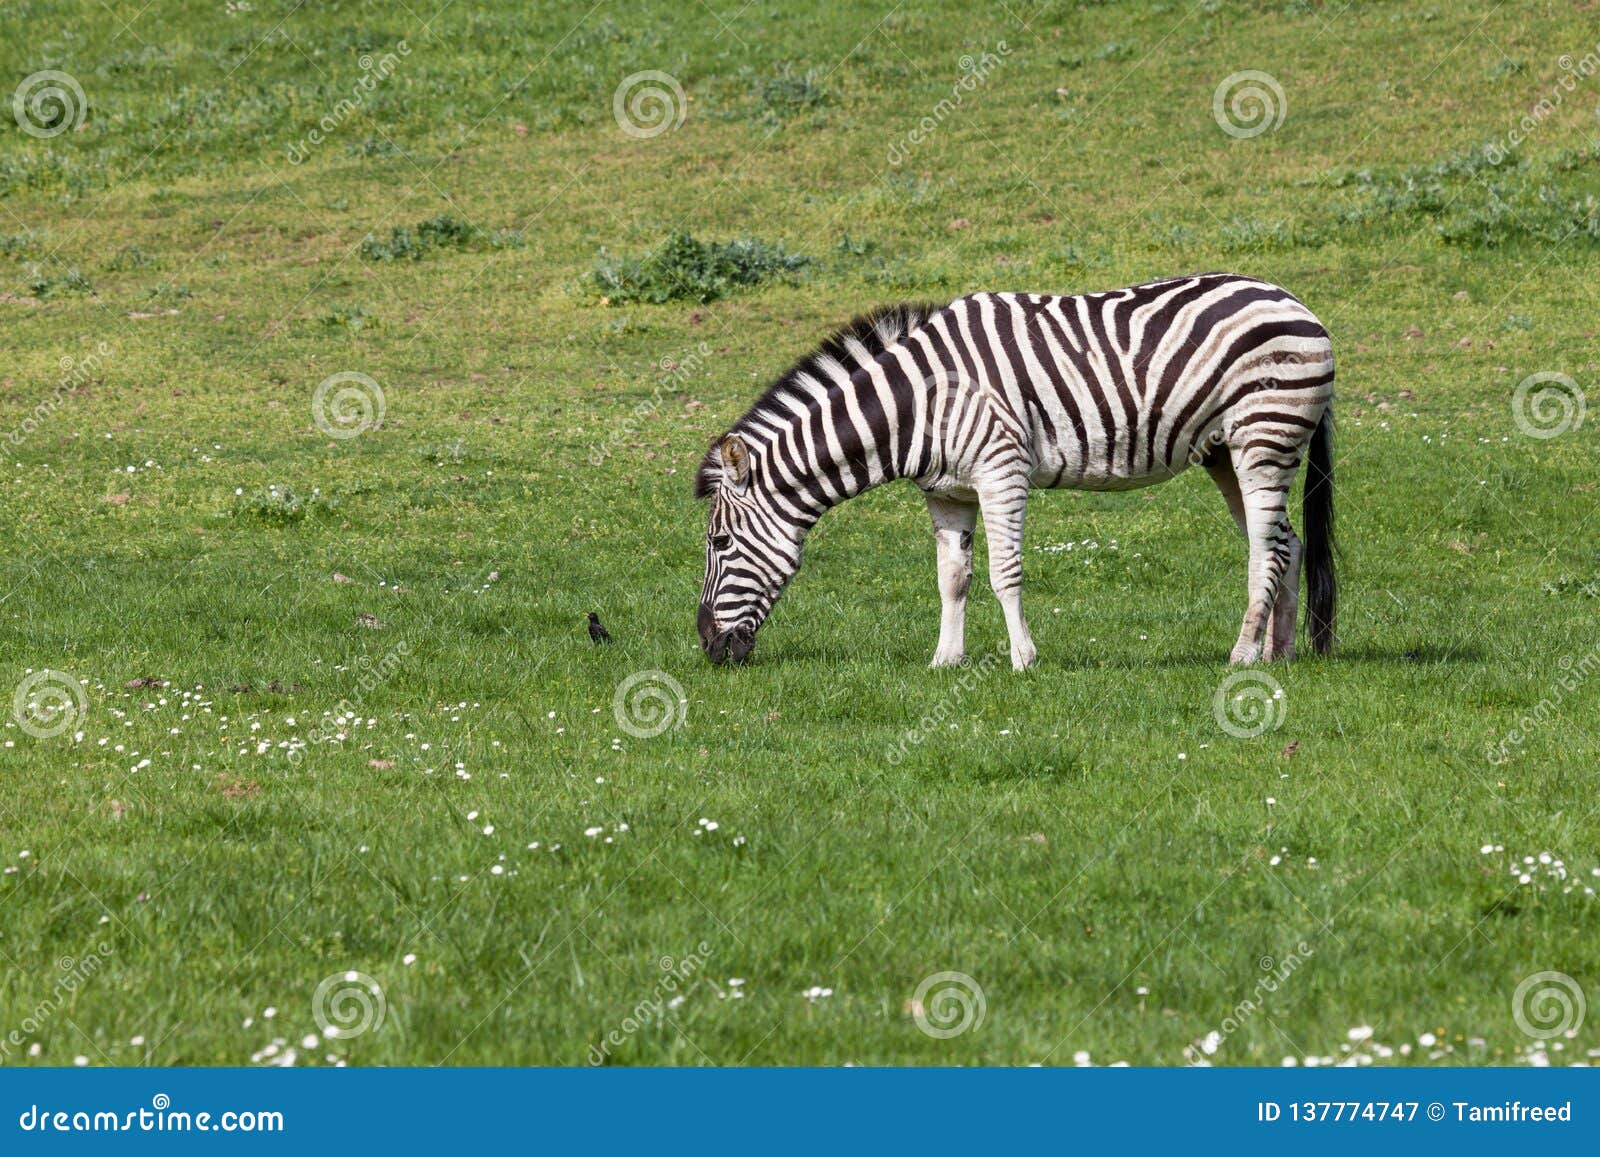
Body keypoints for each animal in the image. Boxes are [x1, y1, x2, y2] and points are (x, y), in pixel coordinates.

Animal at [695, 272, 1335, 671]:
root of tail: (1293, 301)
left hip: (1264, 435)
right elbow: (952, 578)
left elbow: (1004, 572)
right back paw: (1280, 653)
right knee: (1288, 543)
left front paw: (1023, 660)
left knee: (1267, 550)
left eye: (720, 542)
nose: (707, 645)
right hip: (1227, 452)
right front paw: (944, 660)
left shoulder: (1001, 471)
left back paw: (1242, 656)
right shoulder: (946, 492)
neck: (918, 403)